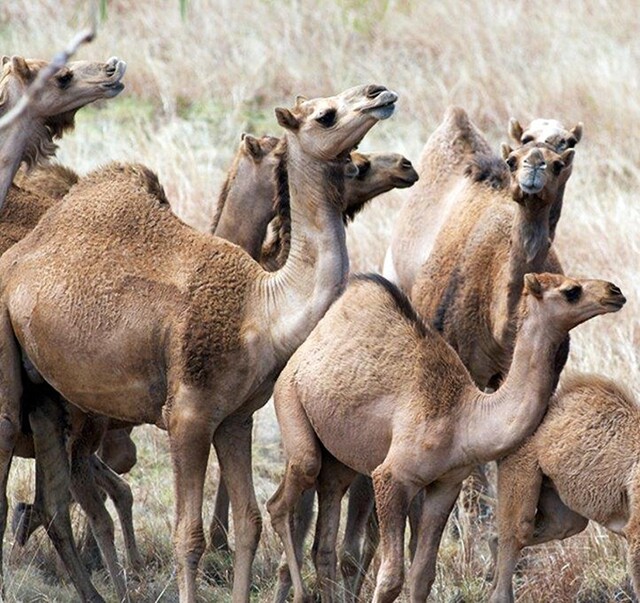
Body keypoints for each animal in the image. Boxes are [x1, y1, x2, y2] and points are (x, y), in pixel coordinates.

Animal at [0, 83, 398, 602]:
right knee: (9, 438)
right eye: (326, 116)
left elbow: (249, 522)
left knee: (53, 495)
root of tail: (18, 257)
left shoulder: (235, 419)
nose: (379, 93)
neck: (261, 309)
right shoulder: (187, 416)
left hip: (52, 396)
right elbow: (187, 534)